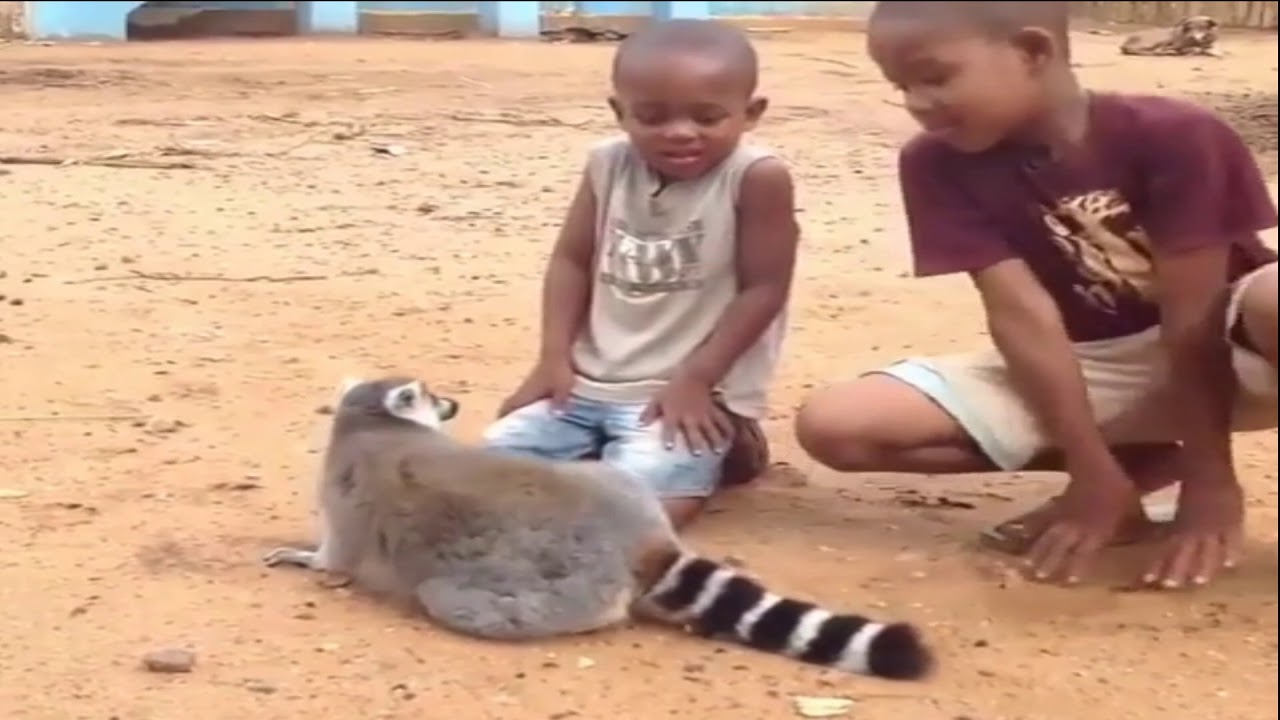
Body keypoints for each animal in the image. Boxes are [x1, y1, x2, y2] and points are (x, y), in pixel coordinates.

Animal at [262, 375, 934, 681]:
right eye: (432, 396)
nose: (451, 405)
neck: (375, 424)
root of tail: (641, 537)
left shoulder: (350, 491)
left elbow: (340, 551)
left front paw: (307, 559)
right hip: (620, 479)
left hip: (539, 594)